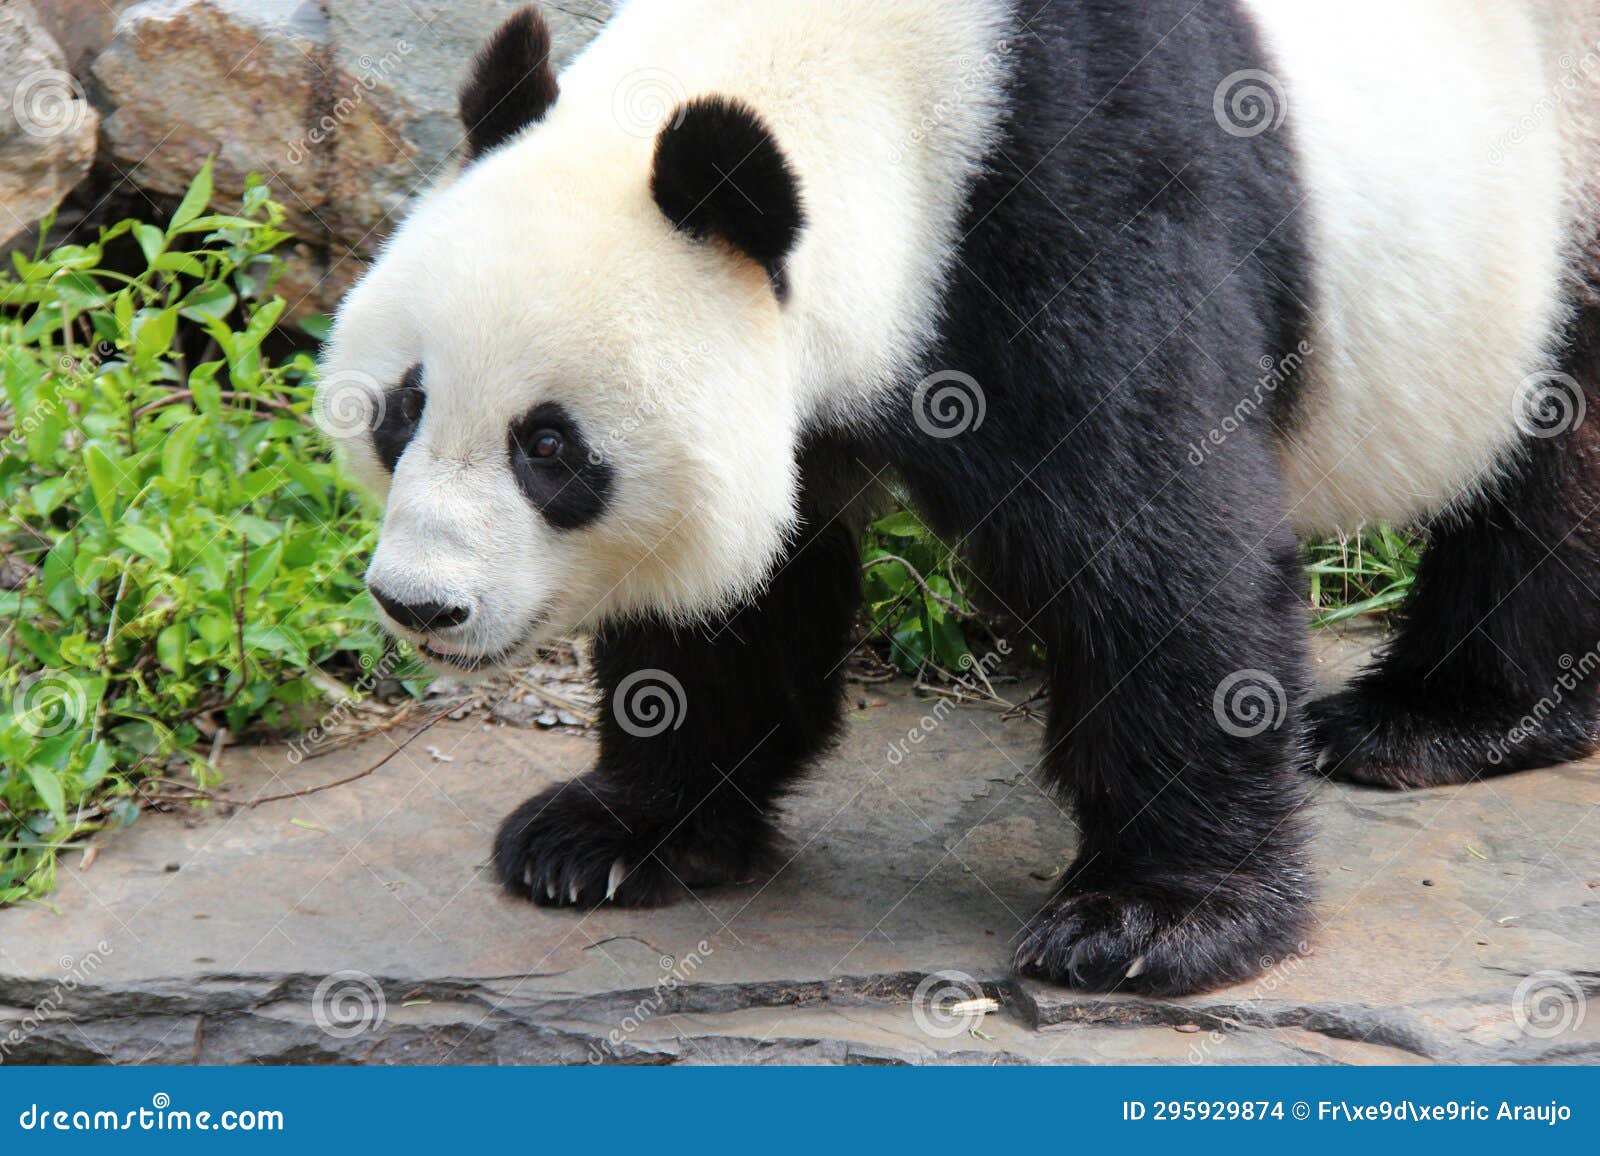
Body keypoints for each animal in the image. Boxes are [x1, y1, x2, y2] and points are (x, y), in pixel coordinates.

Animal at [318, 0, 1600, 996]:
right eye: (404, 408)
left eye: (549, 446)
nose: (421, 603)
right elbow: (746, 596)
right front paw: (617, 833)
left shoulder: (1076, 199)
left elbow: (1156, 559)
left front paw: (1153, 921)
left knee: (1556, 455)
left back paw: (1440, 718)